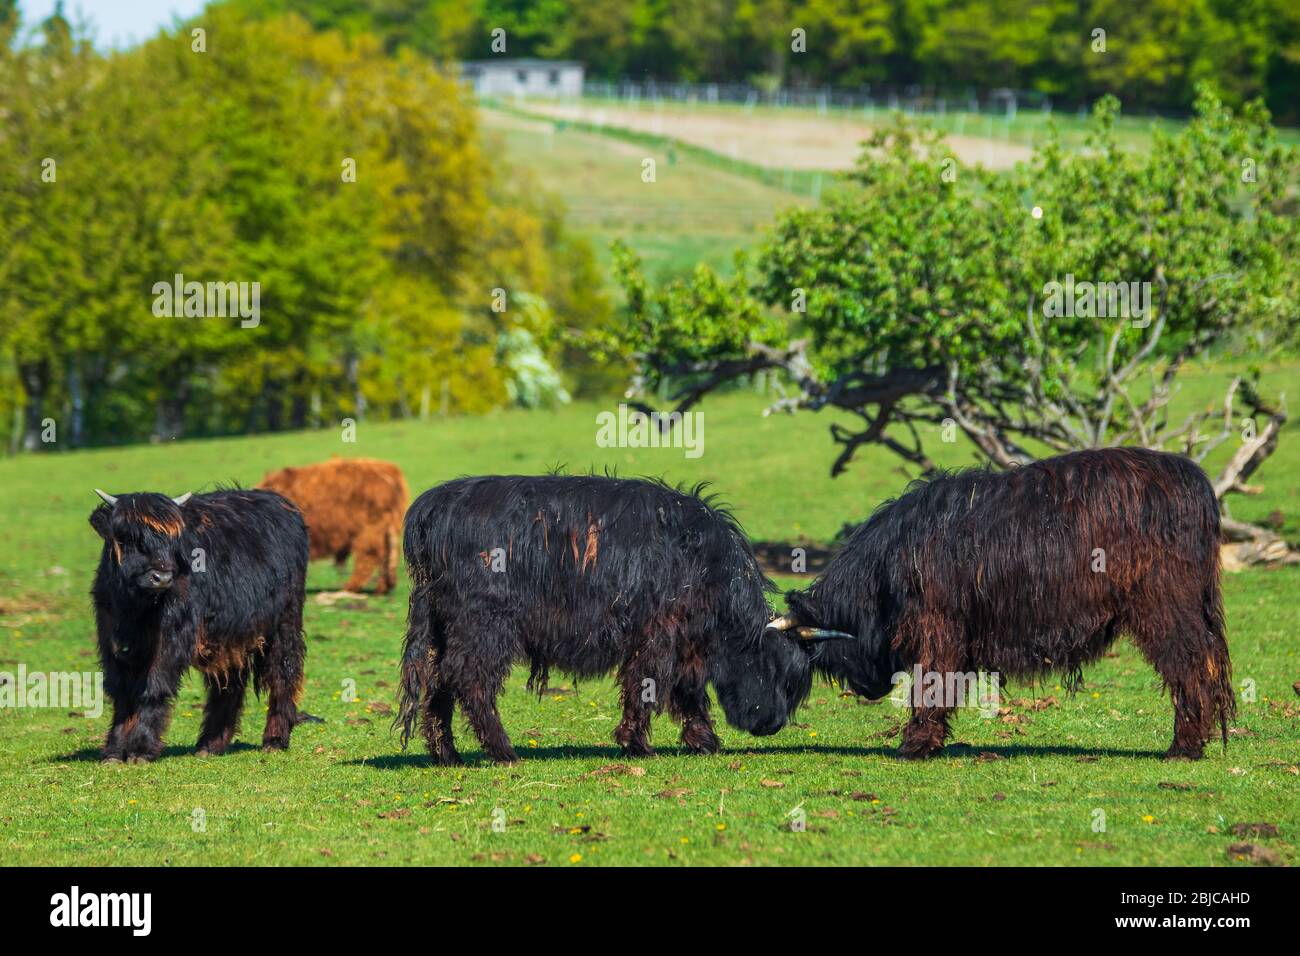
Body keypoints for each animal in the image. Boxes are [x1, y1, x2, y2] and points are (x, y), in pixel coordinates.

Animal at [89, 488, 308, 762]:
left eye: (172, 541)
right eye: (129, 538)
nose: (162, 578)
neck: (136, 607)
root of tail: (281, 502)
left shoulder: (173, 638)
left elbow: (154, 687)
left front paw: (140, 749)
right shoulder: (113, 641)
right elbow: (122, 694)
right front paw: (115, 751)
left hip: (284, 624)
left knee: (283, 673)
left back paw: (275, 740)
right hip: (230, 635)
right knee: (229, 684)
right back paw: (210, 744)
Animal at [258, 457, 408, 594]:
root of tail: (389, 472)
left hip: (370, 529)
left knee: (369, 557)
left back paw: (351, 587)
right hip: (385, 529)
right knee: (386, 556)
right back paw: (382, 588)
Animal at [397, 474, 836, 764]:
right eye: (776, 671)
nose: (772, 724)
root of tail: (435, 505)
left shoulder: (686, 642)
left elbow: (688, 690)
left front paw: (702, 740)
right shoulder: (661, 632)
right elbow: (649, 683)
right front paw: (637, 743)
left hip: (441, 625)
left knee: (438, 679)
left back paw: (446, 752)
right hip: (485, 624)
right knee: (469, 679)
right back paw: (502, 750)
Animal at [768, 447, 1235, 760]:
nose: (869, 690)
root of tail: (1191, 478)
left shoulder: (938, 624)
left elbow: (932, 680)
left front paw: (916, 743)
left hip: (1167, 607)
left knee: (1193, 665)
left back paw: (1184, 746)